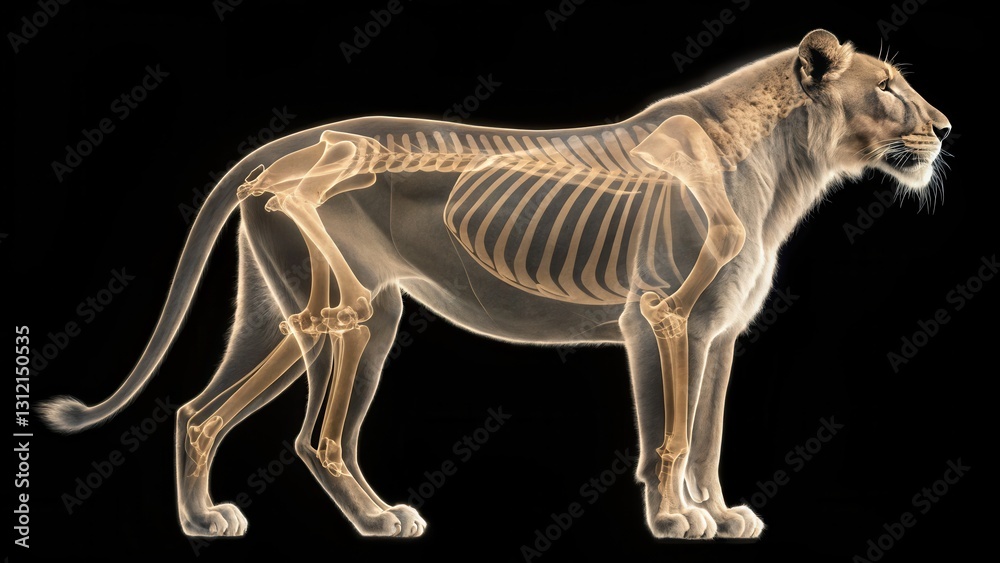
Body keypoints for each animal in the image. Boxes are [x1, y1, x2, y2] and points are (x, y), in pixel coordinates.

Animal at [41, 29, 950, 540]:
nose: (945, 127)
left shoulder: (719, 334)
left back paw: (205, 520)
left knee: (198, 414)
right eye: (887, 86)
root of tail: (280, 146)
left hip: (277, 315)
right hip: (349, 313)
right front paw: (673, 520)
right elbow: (668, 435)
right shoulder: (660, 318)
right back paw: (378, 520)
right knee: (317, 435)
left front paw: (720, 515)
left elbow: (708, 436)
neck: (788, 164)